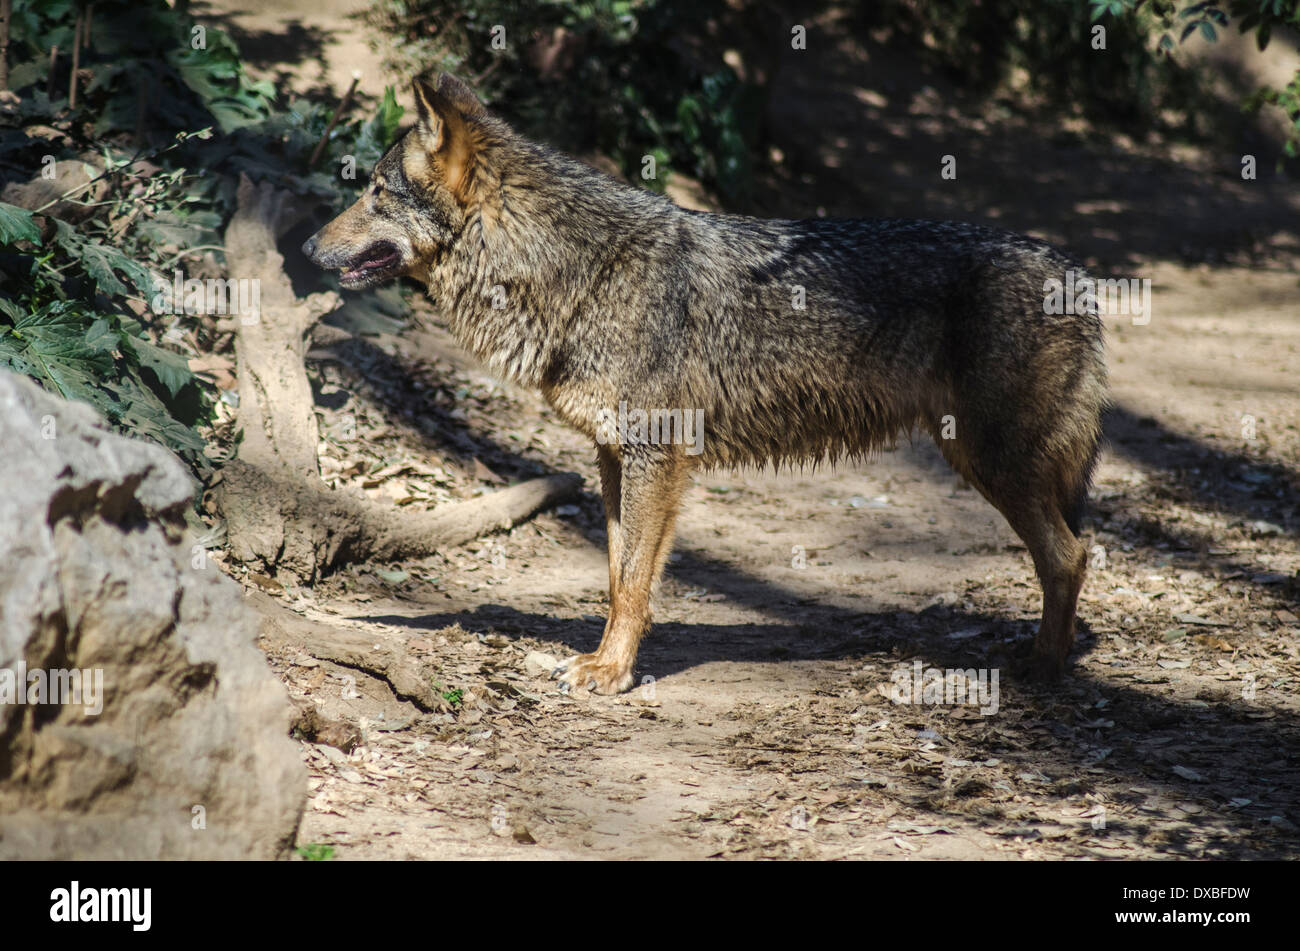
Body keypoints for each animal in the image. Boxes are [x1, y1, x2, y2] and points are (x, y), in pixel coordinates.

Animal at [303, 74, 1108, 695]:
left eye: (374, 192)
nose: (307, 246)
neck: (582, 272)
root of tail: (1070, 270)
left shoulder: (658, 457)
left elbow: (632, 579)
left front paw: (610, 675)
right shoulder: (614, 457)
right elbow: (620, 574)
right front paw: (609, 660)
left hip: (991, 460)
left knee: (1071, 555)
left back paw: (1043, 669)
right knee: (1073, 550)